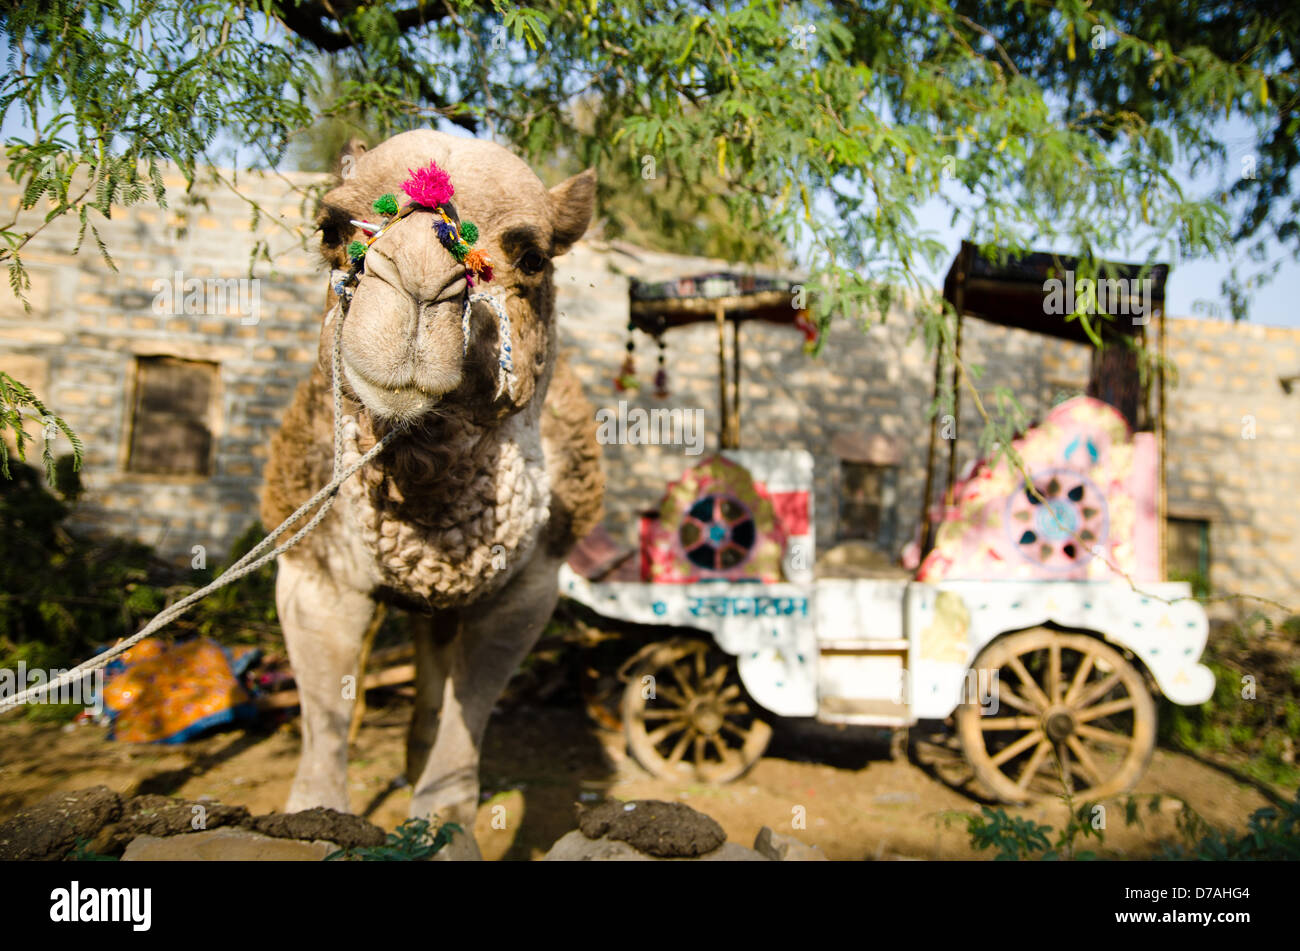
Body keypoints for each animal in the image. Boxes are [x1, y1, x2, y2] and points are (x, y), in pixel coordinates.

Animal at [259, 130, 603, 834]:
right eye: (331, 228)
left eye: (531, 256)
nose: (416, 277)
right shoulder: (313, 572)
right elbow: (326, 712)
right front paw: (313, 817)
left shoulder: (531, 585)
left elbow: (470, 710)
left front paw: (444, 823)